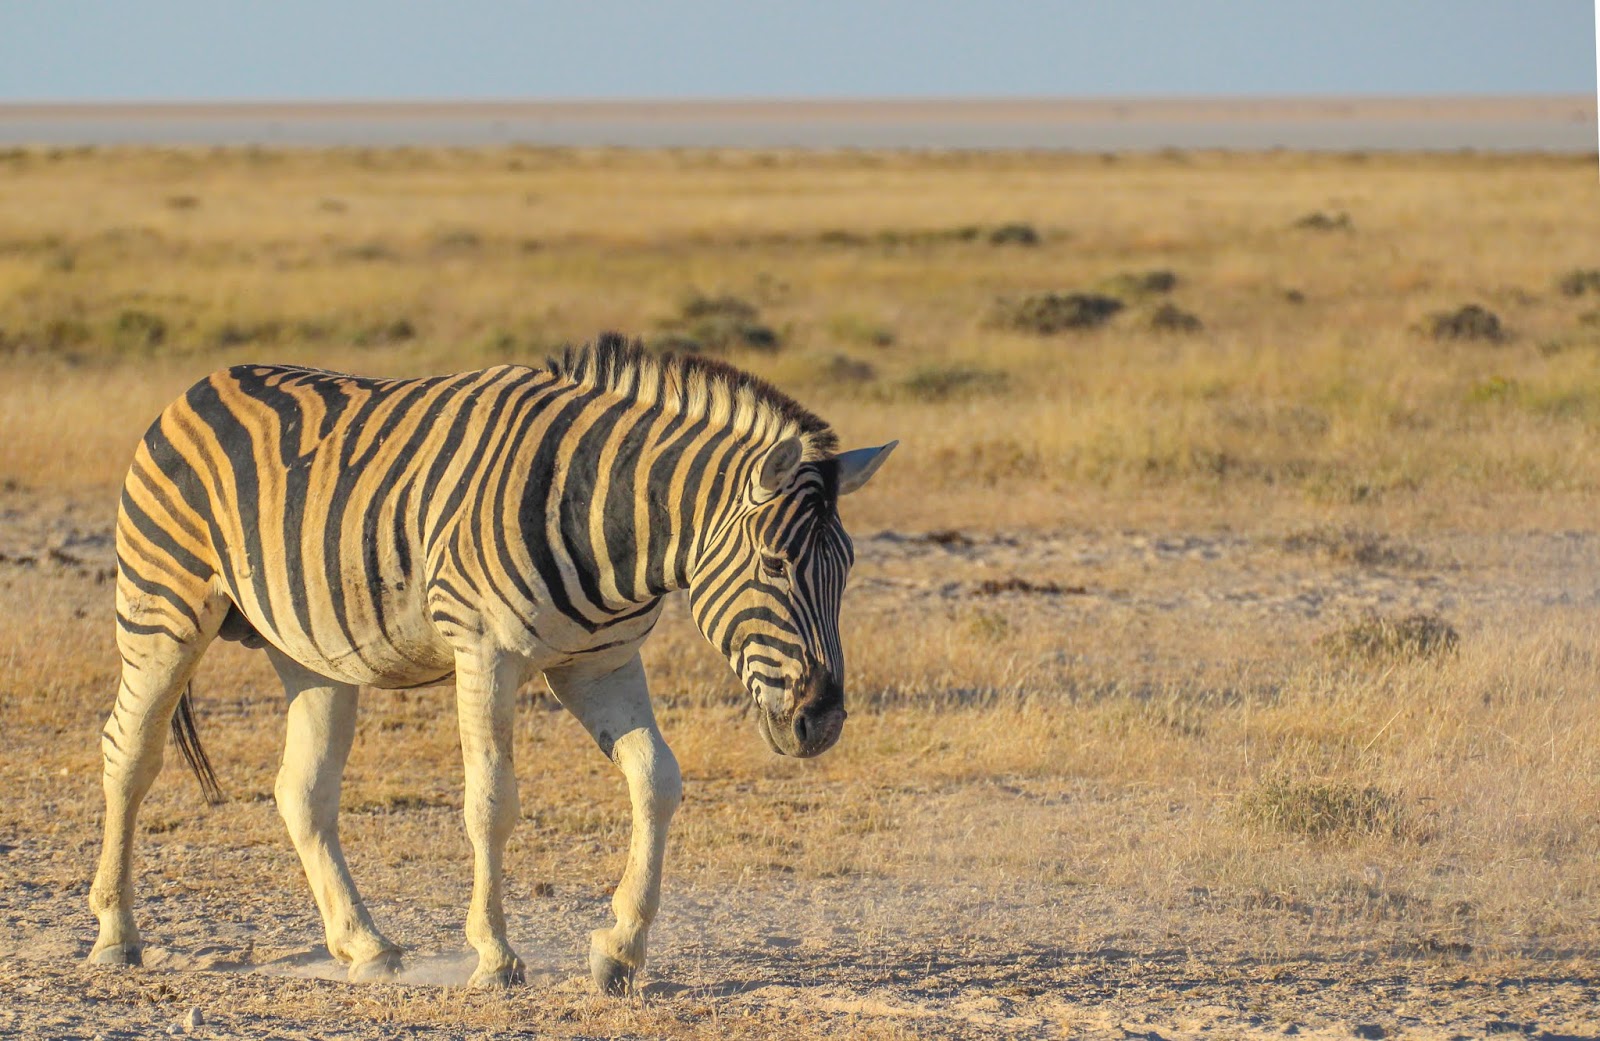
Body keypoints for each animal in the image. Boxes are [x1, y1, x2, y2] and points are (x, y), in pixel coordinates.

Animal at [88, 334, 895, 993]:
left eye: (848, 568)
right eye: (774, 564)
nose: (822, 722)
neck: (609, 525)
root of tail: (202, 383)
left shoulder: (601, 663)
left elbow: (657, 781)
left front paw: (620, 948)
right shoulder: (485, 650)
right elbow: (492, 800)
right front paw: (496, 956)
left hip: (309, 650)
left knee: (302, 790)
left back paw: (365, 946)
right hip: (163, 610)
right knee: (129, 752)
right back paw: (116, 936)